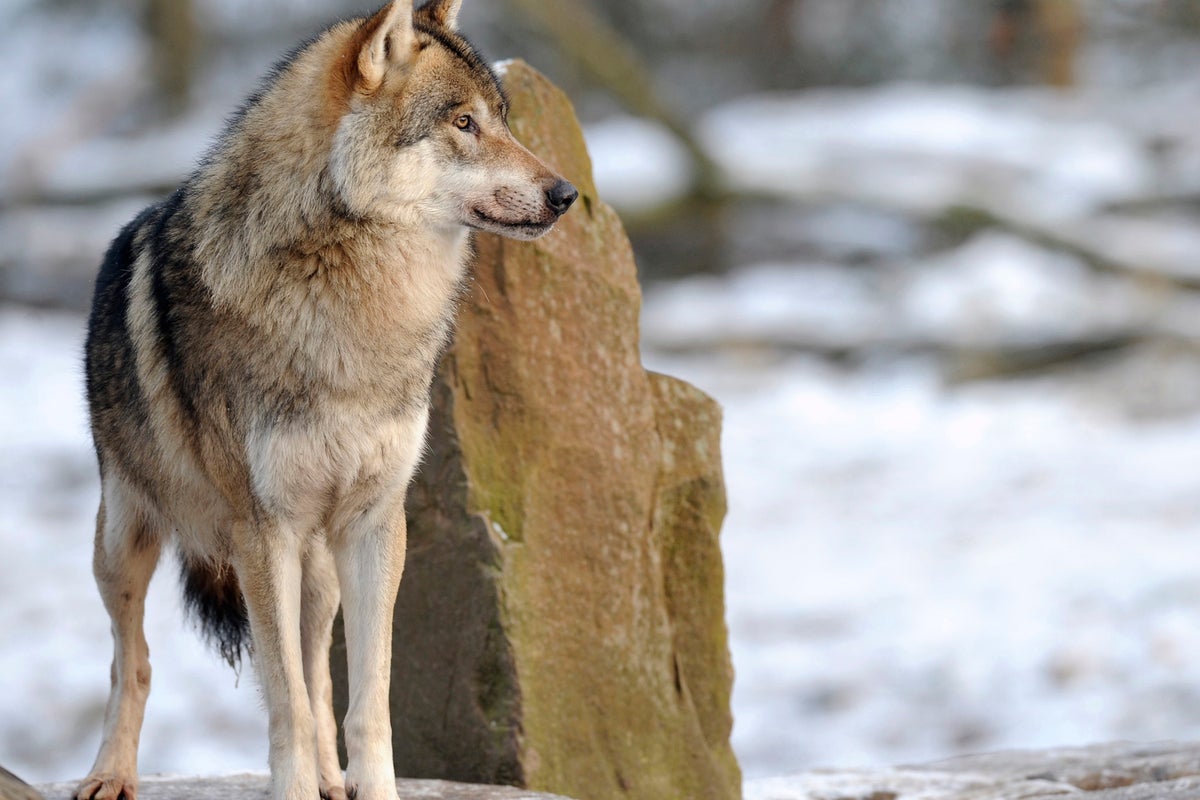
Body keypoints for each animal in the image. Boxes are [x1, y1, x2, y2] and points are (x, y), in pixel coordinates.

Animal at [75, 2, 576, 800]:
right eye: (463, 123)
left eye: (501, 118)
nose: (566, 195)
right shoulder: (262, 531)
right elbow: (284, 707)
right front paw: (296, 784)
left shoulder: (374, 523)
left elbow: (363, 702)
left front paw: (364, 785)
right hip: (126, 541)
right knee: (135, 659)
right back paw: (111, 774)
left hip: (320, 571)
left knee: (315, 672)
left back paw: (332, 780)